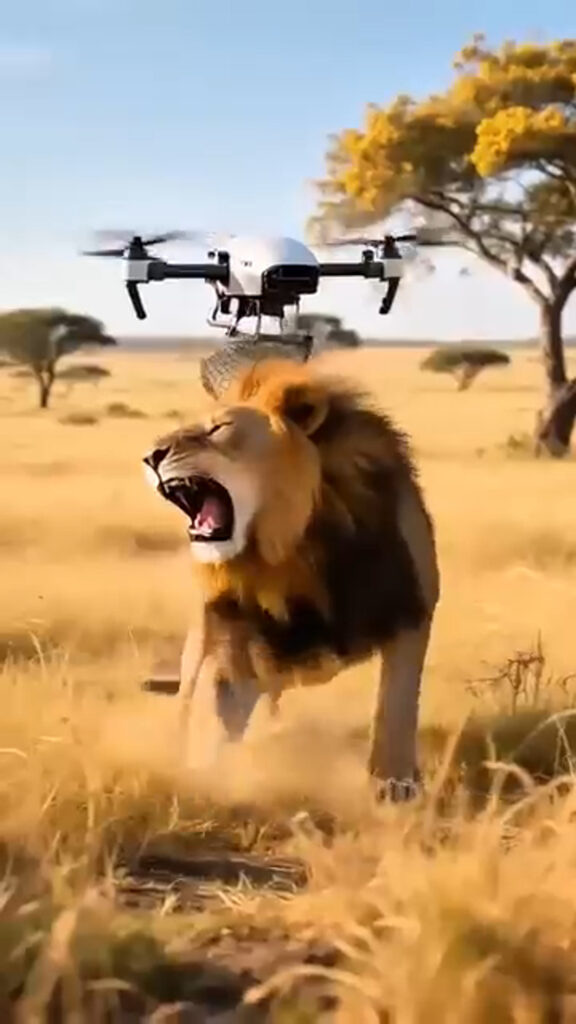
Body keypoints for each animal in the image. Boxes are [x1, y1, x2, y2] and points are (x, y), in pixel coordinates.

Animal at [143, 358, 439, 800]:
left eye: (219, 428)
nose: (150, 457)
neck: (292, 550)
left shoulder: (410, 606)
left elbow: (396, 706)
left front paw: (394, 785)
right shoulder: (231, 631)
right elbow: (214, 714)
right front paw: (206, 781)